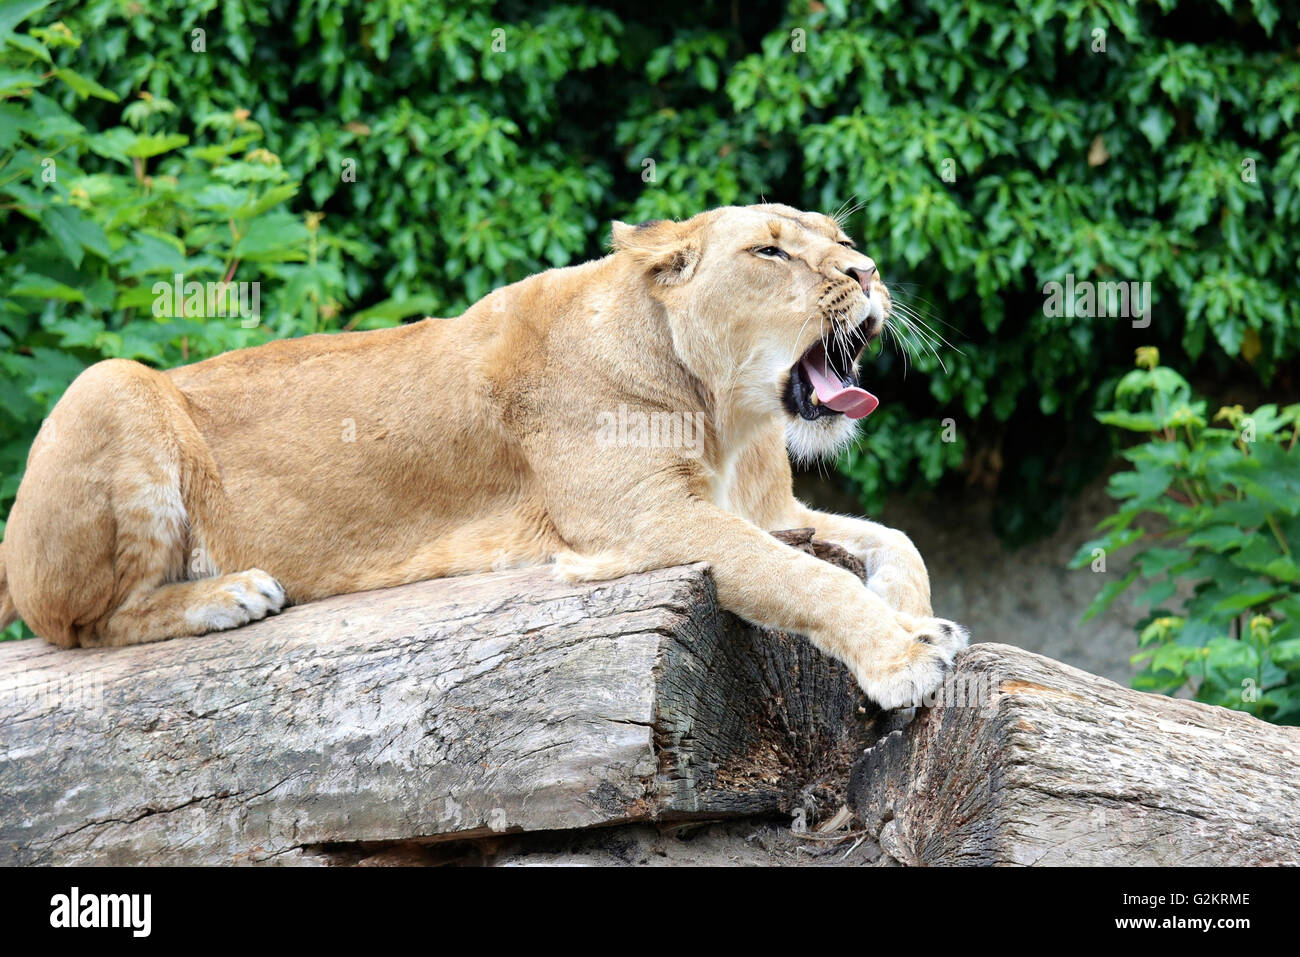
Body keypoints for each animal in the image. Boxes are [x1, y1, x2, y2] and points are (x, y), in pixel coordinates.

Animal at [0, 203, 967, 709]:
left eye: (840, 240)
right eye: (769, 250)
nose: (871, 272)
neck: (726, 413)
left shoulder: (773, 511)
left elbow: (895, 541)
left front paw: (925, 621)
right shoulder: (647, 520)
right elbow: (798, 574)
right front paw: (903, 658)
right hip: (108, 384)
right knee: (86, 625)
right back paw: (229, 594)